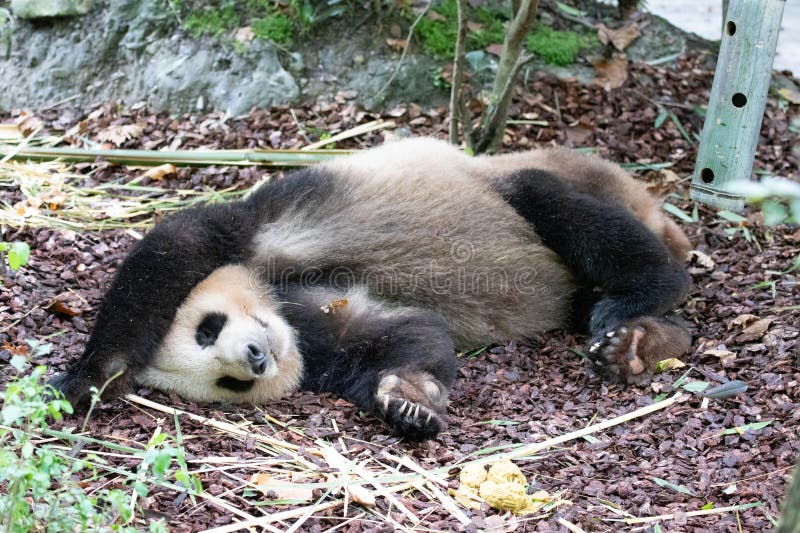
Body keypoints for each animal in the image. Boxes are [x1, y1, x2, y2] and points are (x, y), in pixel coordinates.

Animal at [50, 138, 692, 441]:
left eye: (209, 328)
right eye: (229, 383)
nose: (255, 358)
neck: (278, 303)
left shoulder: (257, 232)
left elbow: (176, 247)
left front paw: (86, 378)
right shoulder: (317, 335)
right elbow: (399, 331)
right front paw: (405, 400)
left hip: (522, 185)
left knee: (564, 210)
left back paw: (643, 294)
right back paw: (638, 346)